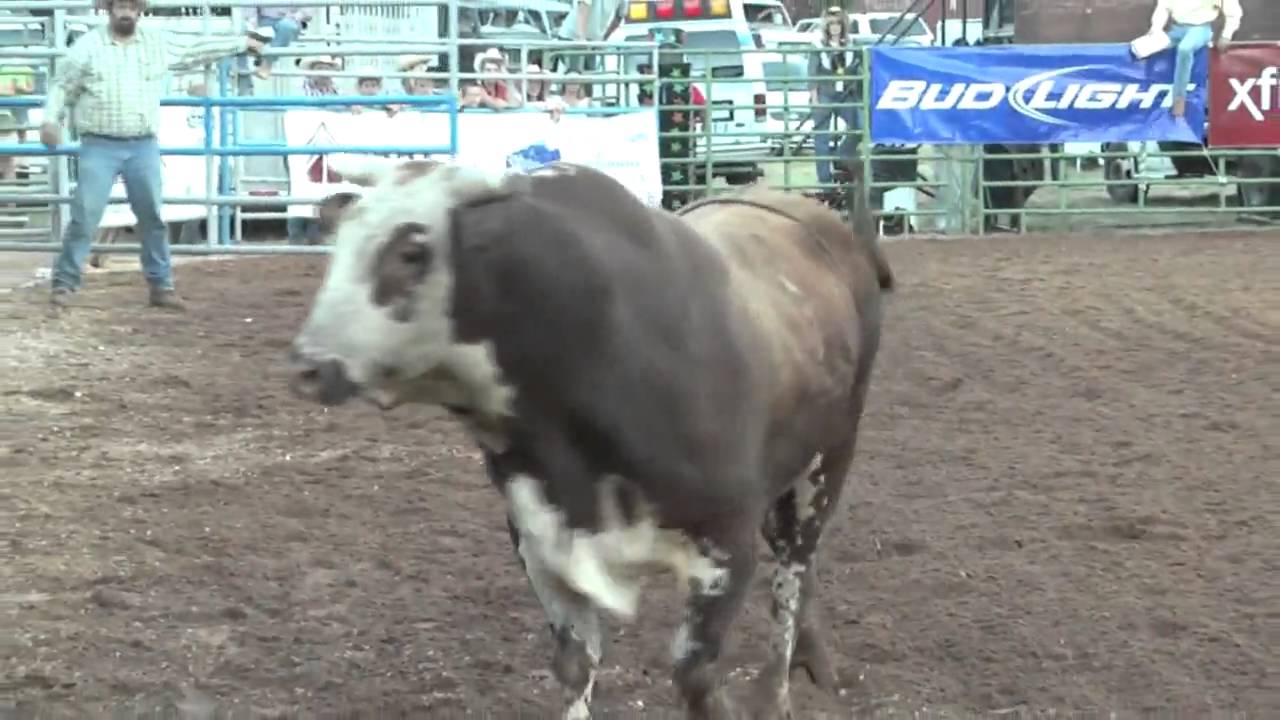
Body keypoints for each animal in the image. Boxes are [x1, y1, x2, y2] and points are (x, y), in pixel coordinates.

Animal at [287, 157, 894, 720]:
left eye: (411, 251)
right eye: (339, 240)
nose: (308, 365)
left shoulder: (728, 545)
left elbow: (696, 675)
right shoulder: (541, 543)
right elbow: (577, 663)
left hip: (830, 458)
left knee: (792, 573)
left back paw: (777, 689)